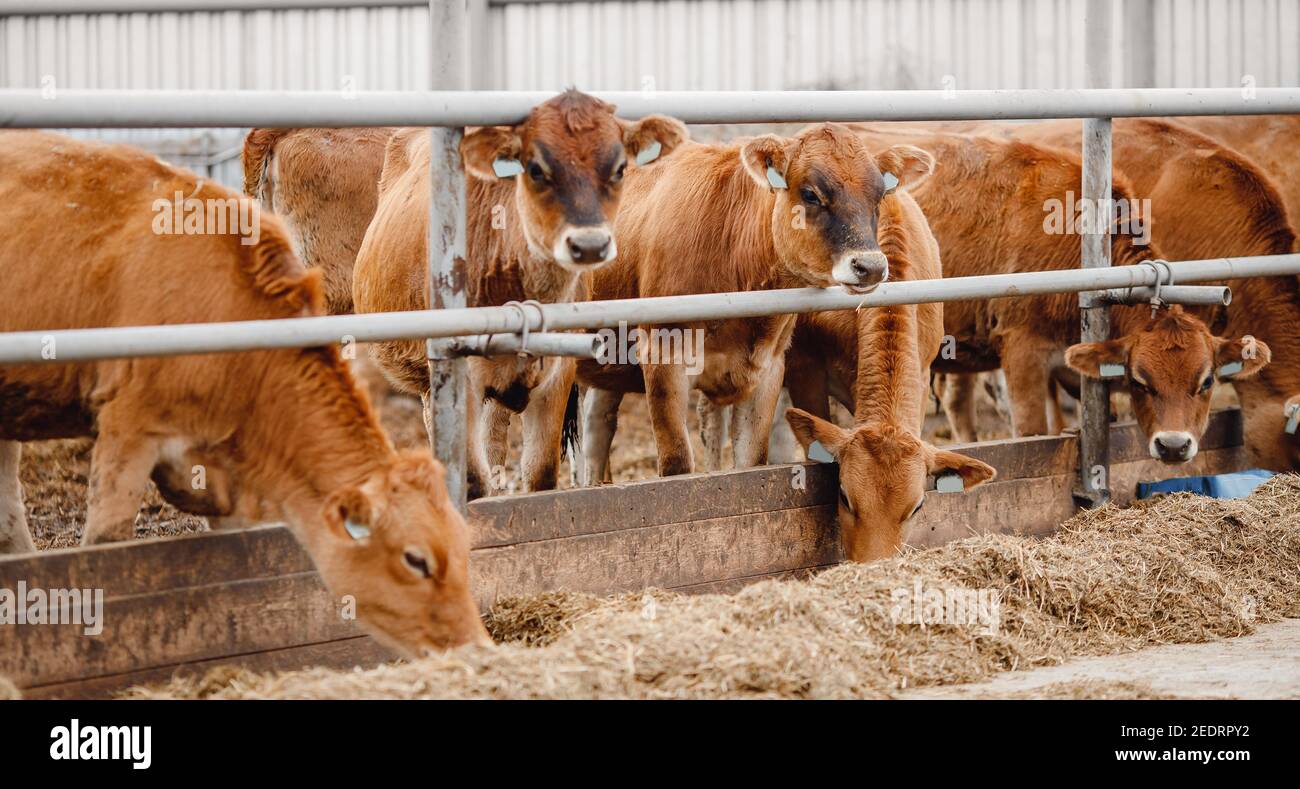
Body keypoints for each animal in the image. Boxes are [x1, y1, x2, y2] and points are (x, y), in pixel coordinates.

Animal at [351, 90, 688, 498]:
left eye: (620, 167)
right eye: (537, 169)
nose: (589, 244)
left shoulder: (558, 374)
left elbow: (540, 473)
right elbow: (472, 481)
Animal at [577, 124, 935, 481]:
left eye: (880, 194)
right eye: (810, 194)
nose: (870, 266)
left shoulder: (769, 369)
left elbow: (752, 461)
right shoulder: (664, 357)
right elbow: (677, 463)